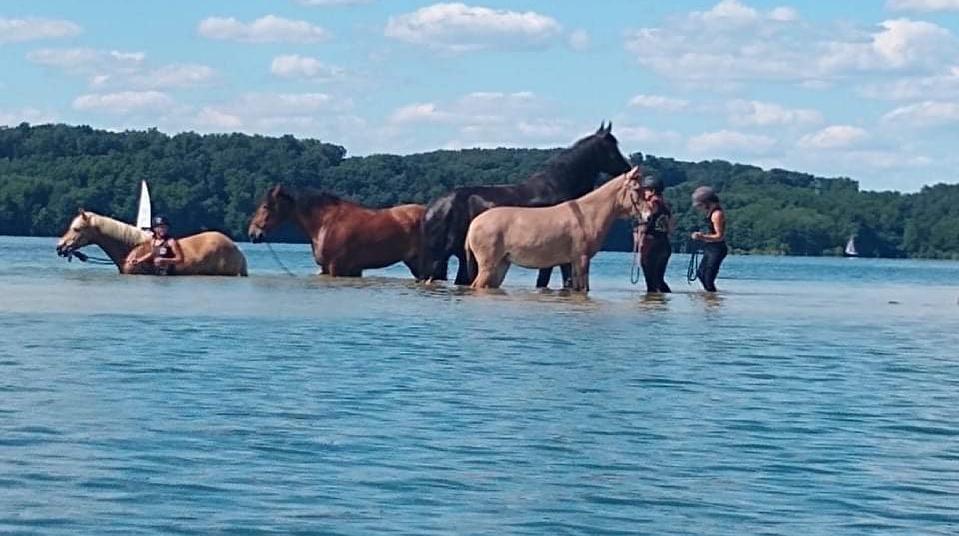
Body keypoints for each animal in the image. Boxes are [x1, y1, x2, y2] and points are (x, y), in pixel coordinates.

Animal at [465, 167, 645, 292]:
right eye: (637, 189)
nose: (648, 215)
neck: (587, 214)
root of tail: (474, 223)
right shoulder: (582, 259)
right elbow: (583, 288)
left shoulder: (574, 261)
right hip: (488, 265)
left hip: (502, 264)